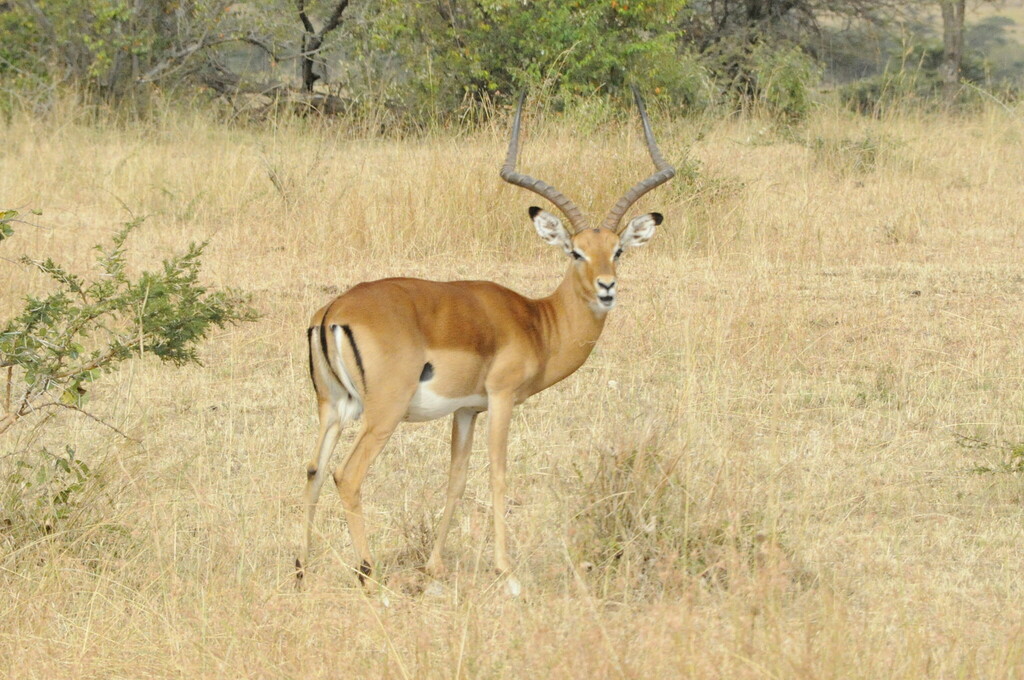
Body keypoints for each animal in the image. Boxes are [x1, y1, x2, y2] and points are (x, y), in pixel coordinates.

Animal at [298, 89, 675, 587]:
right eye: (575, 252)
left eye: (617, 250)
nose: (606, 288)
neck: (536, 320)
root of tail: (334, 311)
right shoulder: (501, 398)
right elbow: (498, 473)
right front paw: (506, 570)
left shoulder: (466, 411)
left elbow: (456, 479)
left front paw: (435, 566)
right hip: (383, 412)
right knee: (348, 475)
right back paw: (368, 574)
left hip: (333, 408)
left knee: (314, 470)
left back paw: (300, 570)